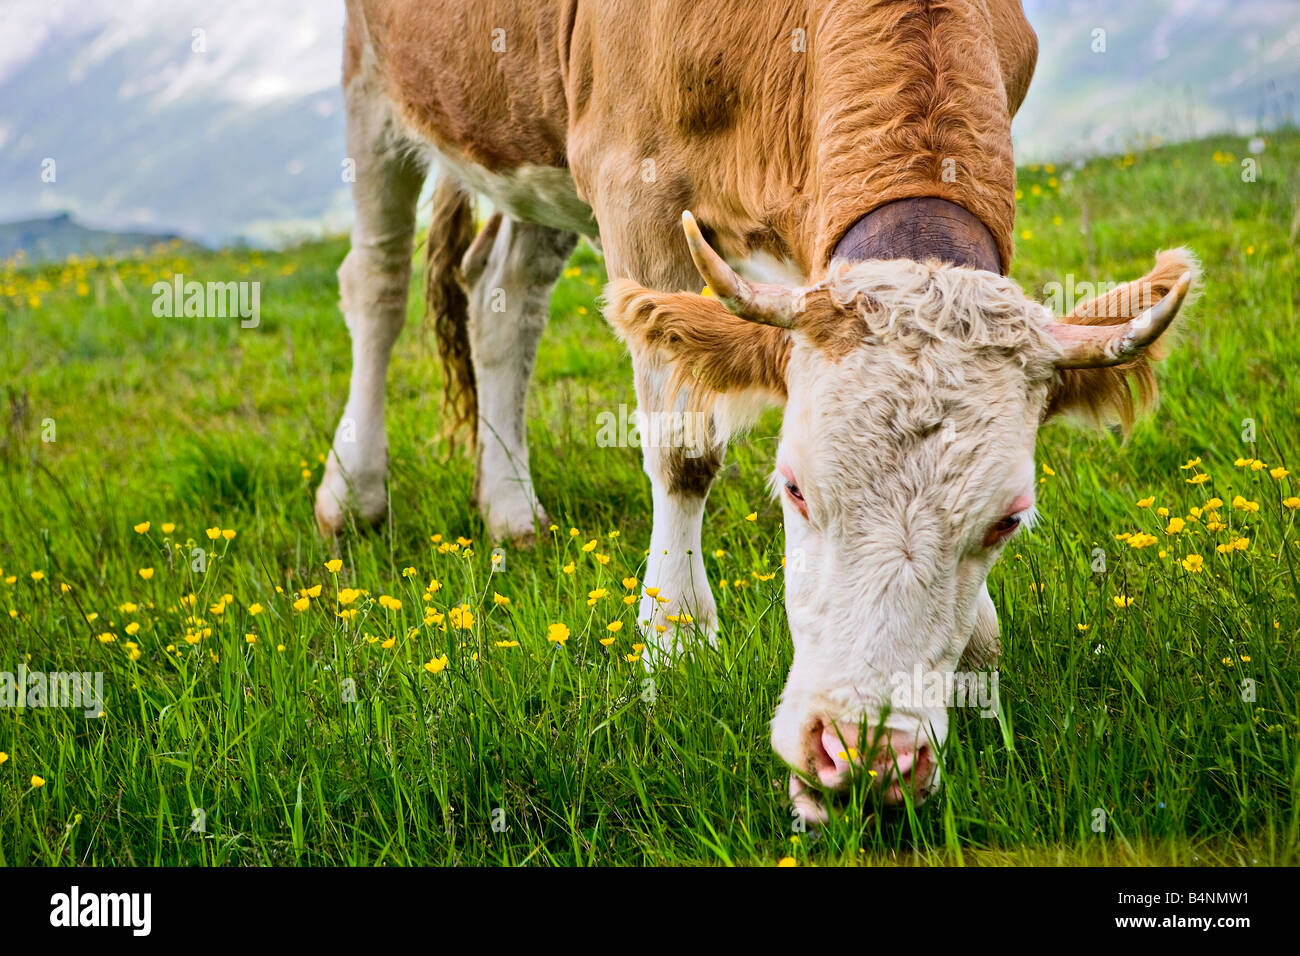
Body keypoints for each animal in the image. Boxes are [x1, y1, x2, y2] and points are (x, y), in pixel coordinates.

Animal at [315, 0, 1199, 822]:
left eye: (1009, 520)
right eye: (795, 490)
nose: (864, 758)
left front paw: (977, 643)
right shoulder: (632, 182)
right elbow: (684, 451)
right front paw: (674, 642)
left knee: (503, 293)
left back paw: (510, 510)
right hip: (373, 88)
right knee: (377, 282)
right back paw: (352, 494)